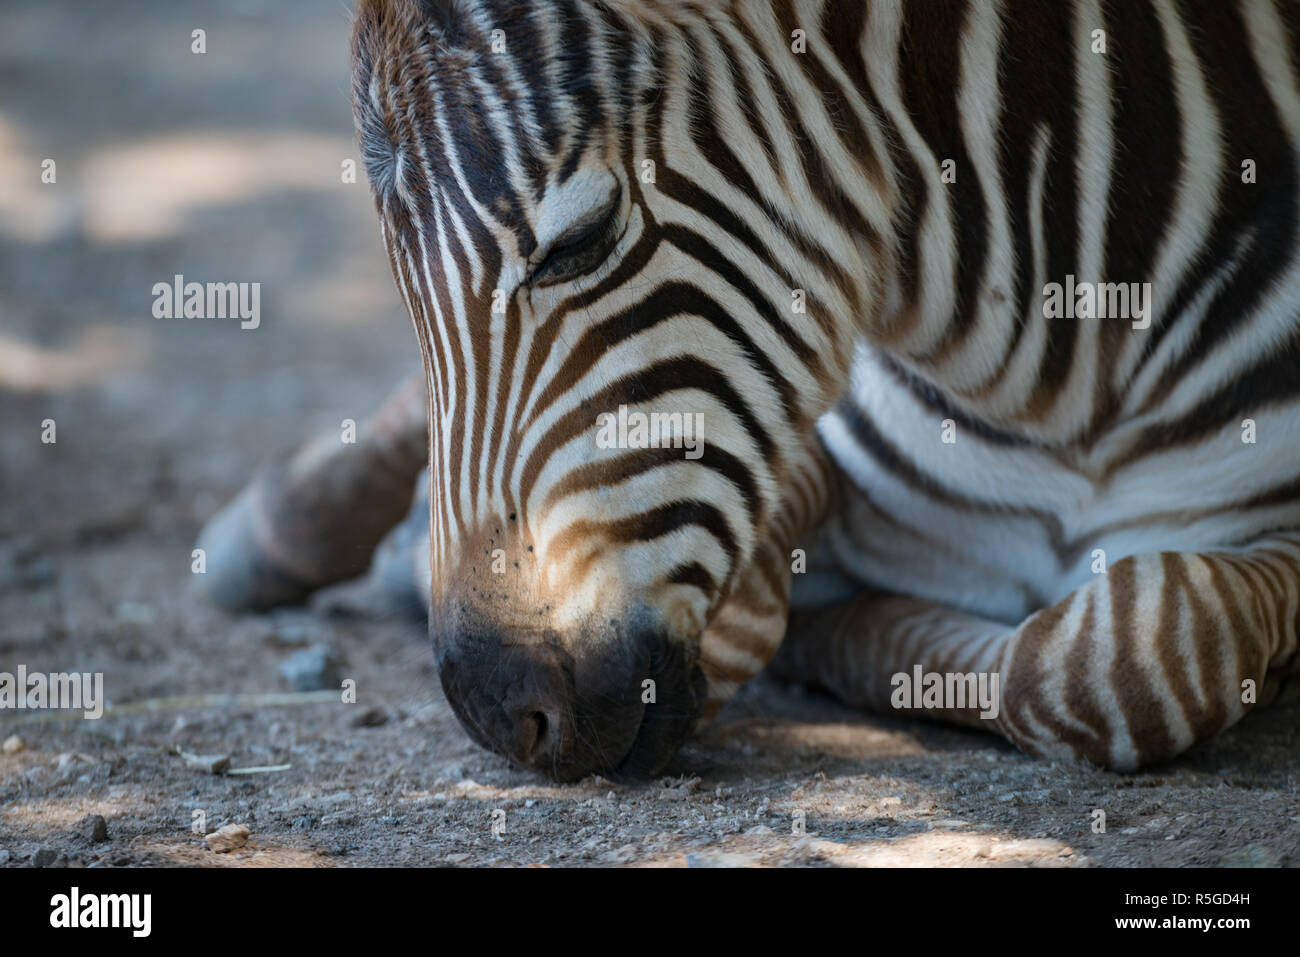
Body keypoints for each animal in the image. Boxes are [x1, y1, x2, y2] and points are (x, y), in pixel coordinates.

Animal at [197, 0, 1300, 781]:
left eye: (579, 242)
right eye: (403, 287)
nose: (498, 711)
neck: (1067, 382)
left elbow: (1121, 655)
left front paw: (844, 638)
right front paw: (801, 628)